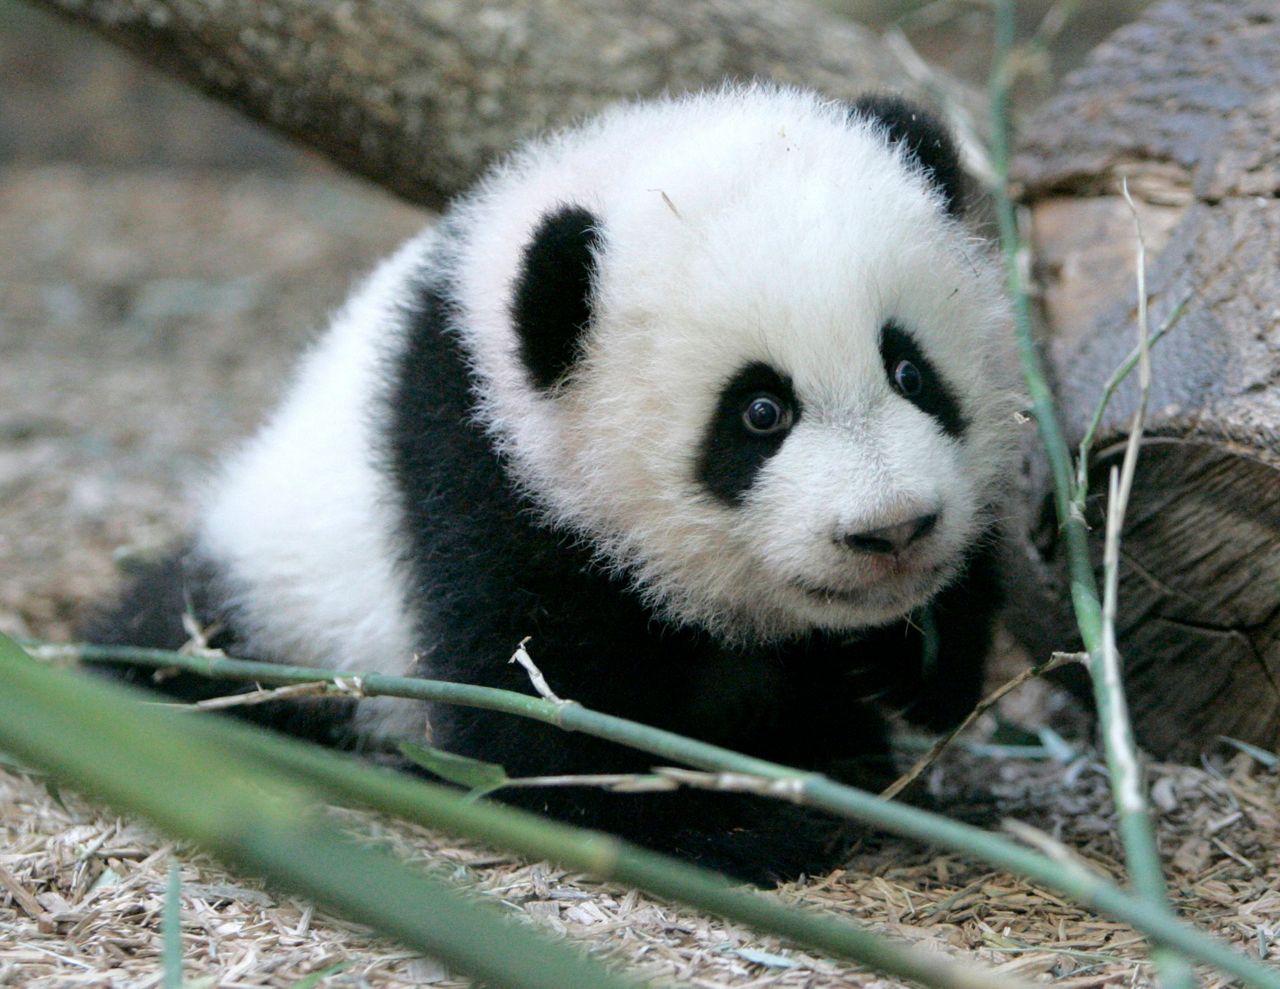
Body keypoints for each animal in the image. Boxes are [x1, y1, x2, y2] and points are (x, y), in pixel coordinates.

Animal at [92, 85, 1018, 883]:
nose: (891, 528)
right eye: (760, 413)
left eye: (910, 370)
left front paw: (909, 662)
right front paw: (721, 823)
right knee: (180, 659)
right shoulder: (477, 467)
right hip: (280, 606)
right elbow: (532, 701)